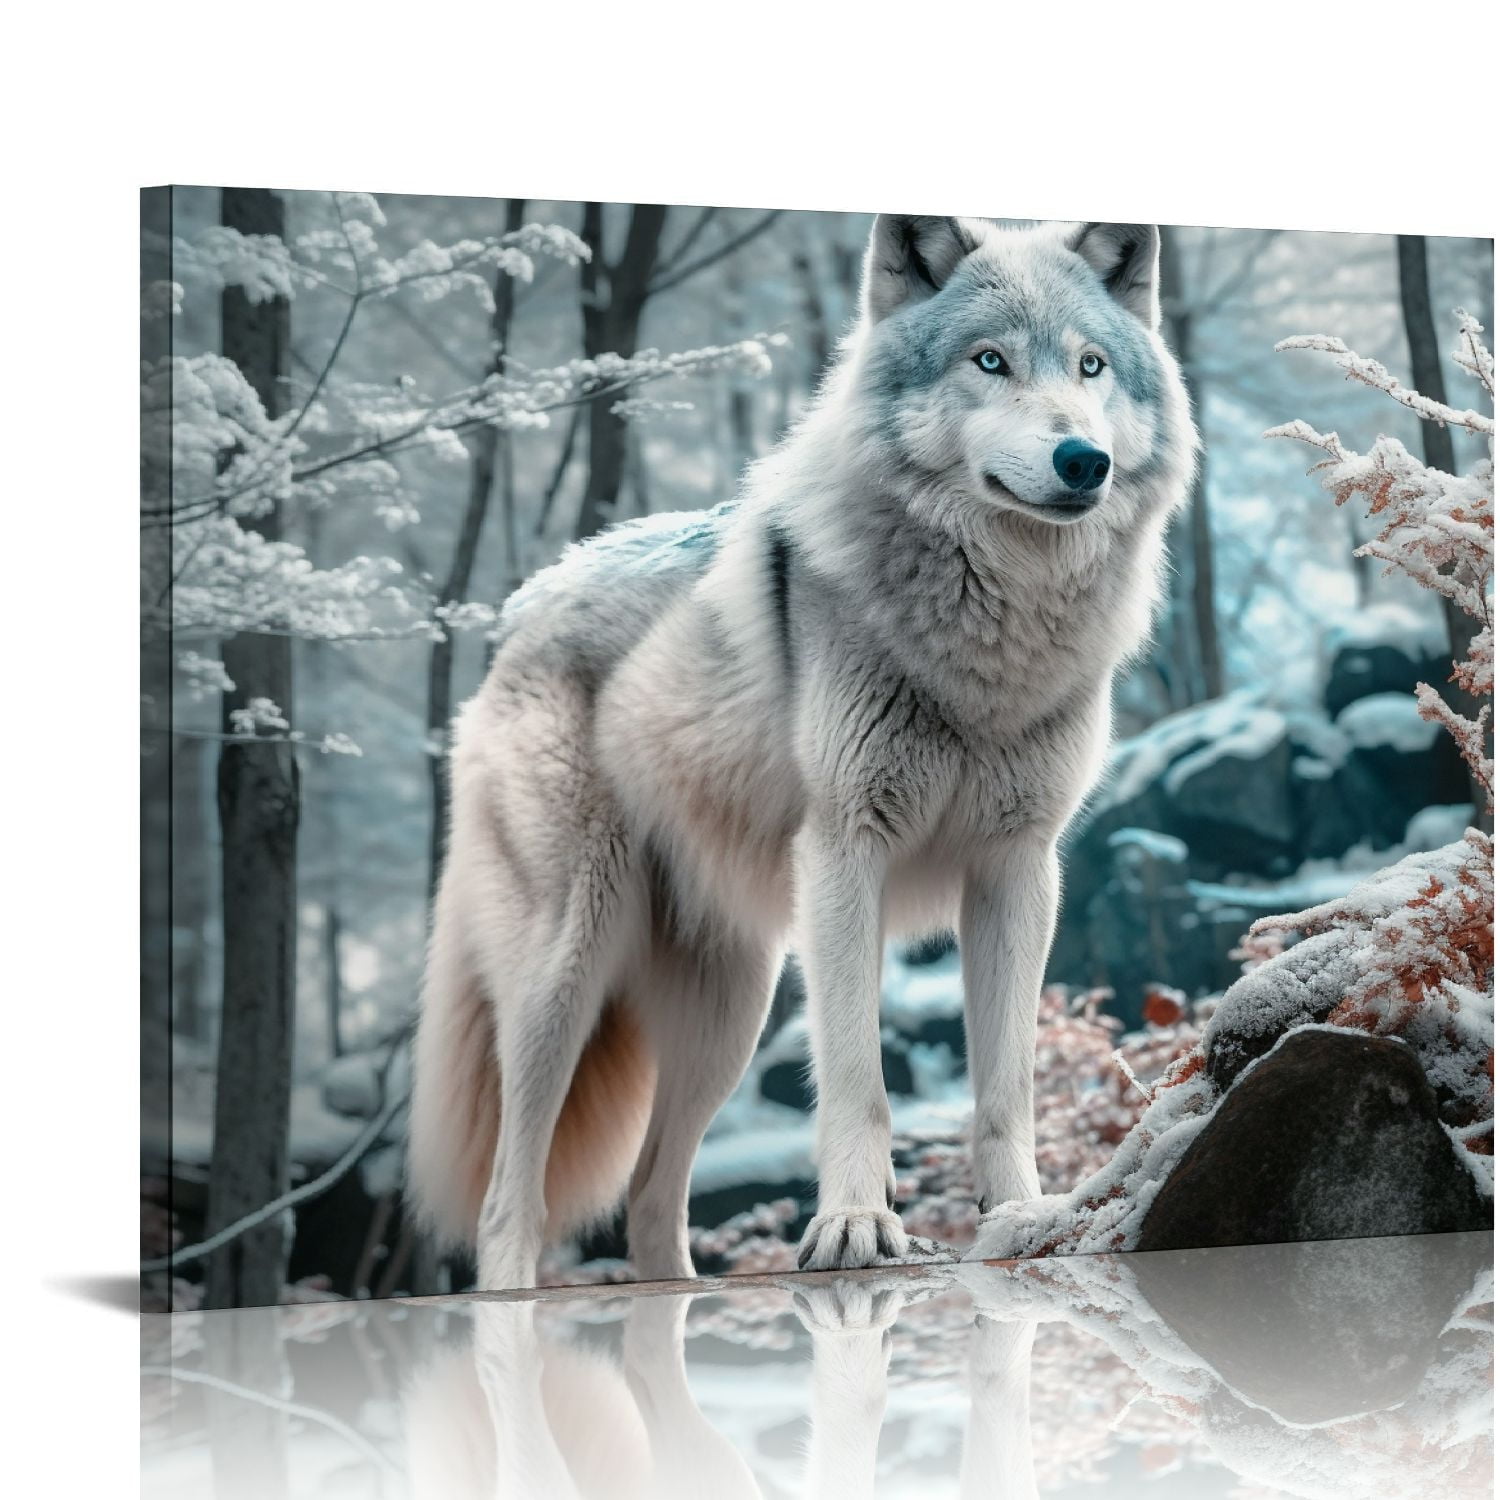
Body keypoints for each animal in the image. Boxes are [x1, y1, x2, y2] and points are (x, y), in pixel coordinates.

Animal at [408, 213, 1196, 1290]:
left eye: (1091, 366)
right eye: (990, 361)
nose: (1083, 459)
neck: (990, 646)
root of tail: (524, 605)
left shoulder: (1017, 872)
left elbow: (1006, 1085)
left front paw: (1020, 1219)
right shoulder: (845, 853)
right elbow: (859, 1076)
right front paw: (857, 1228)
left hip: (729, 1019)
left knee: (652, 1196)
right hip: (564, 976)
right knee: (509, 1201)